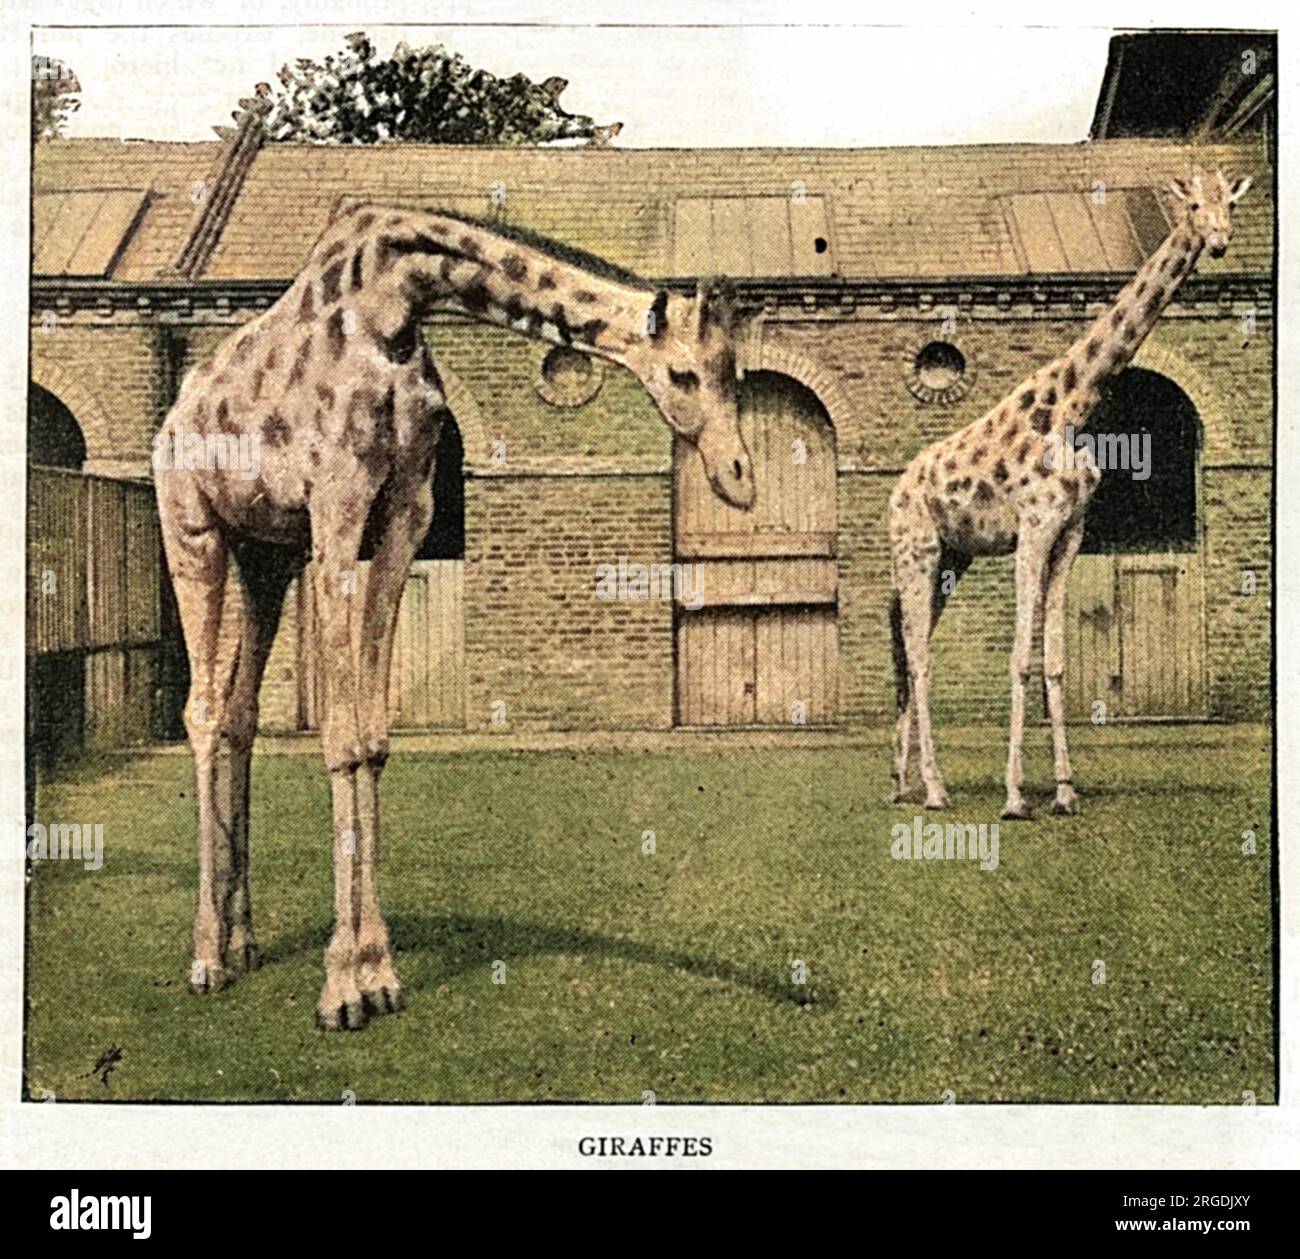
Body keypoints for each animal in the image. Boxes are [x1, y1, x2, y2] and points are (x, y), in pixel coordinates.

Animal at [154, 205, 755, 1029]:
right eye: (685, 374)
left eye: (736, 374)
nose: (740, 480)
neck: (398, 307)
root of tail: (170, 423)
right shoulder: (336, 506)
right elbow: (340, 736)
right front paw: (341, 988)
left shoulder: (404, 513)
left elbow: (373, 738)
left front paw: (377, 970)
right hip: (194, 528)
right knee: (205, 710)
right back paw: (206, 956)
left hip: (265, 555)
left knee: (241, 713)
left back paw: (244, 941)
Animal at [888, 168, 1250, 819]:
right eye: (1191, 205)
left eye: (1228, 204)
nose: (1219, 241)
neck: (1075, 407)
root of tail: (896, 493)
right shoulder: (1033, 529)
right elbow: (1020, 659)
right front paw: (1013, 796)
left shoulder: (1069, 535)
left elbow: (1054, 662)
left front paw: (1063, 790)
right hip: (917, 550)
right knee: (920, 657)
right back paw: (934, 787)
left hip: (952, 557)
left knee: (911, 647)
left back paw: (901, 781)